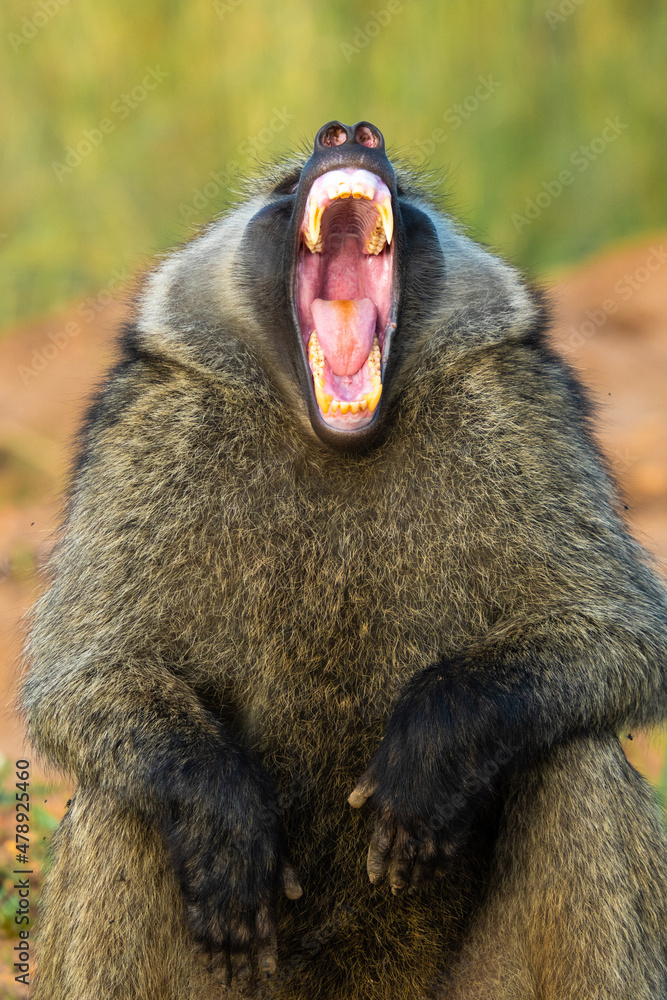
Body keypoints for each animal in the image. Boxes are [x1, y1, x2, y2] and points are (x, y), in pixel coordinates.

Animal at [21, 119, 667, 1000]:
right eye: (286, 182)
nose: (351, 132)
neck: (333, 443)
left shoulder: (521, 408)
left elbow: (623, 633)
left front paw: (435, 746)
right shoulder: (146, 432)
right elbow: (83, 674)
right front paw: (222, 821)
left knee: (574, 758)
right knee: (121, 805)